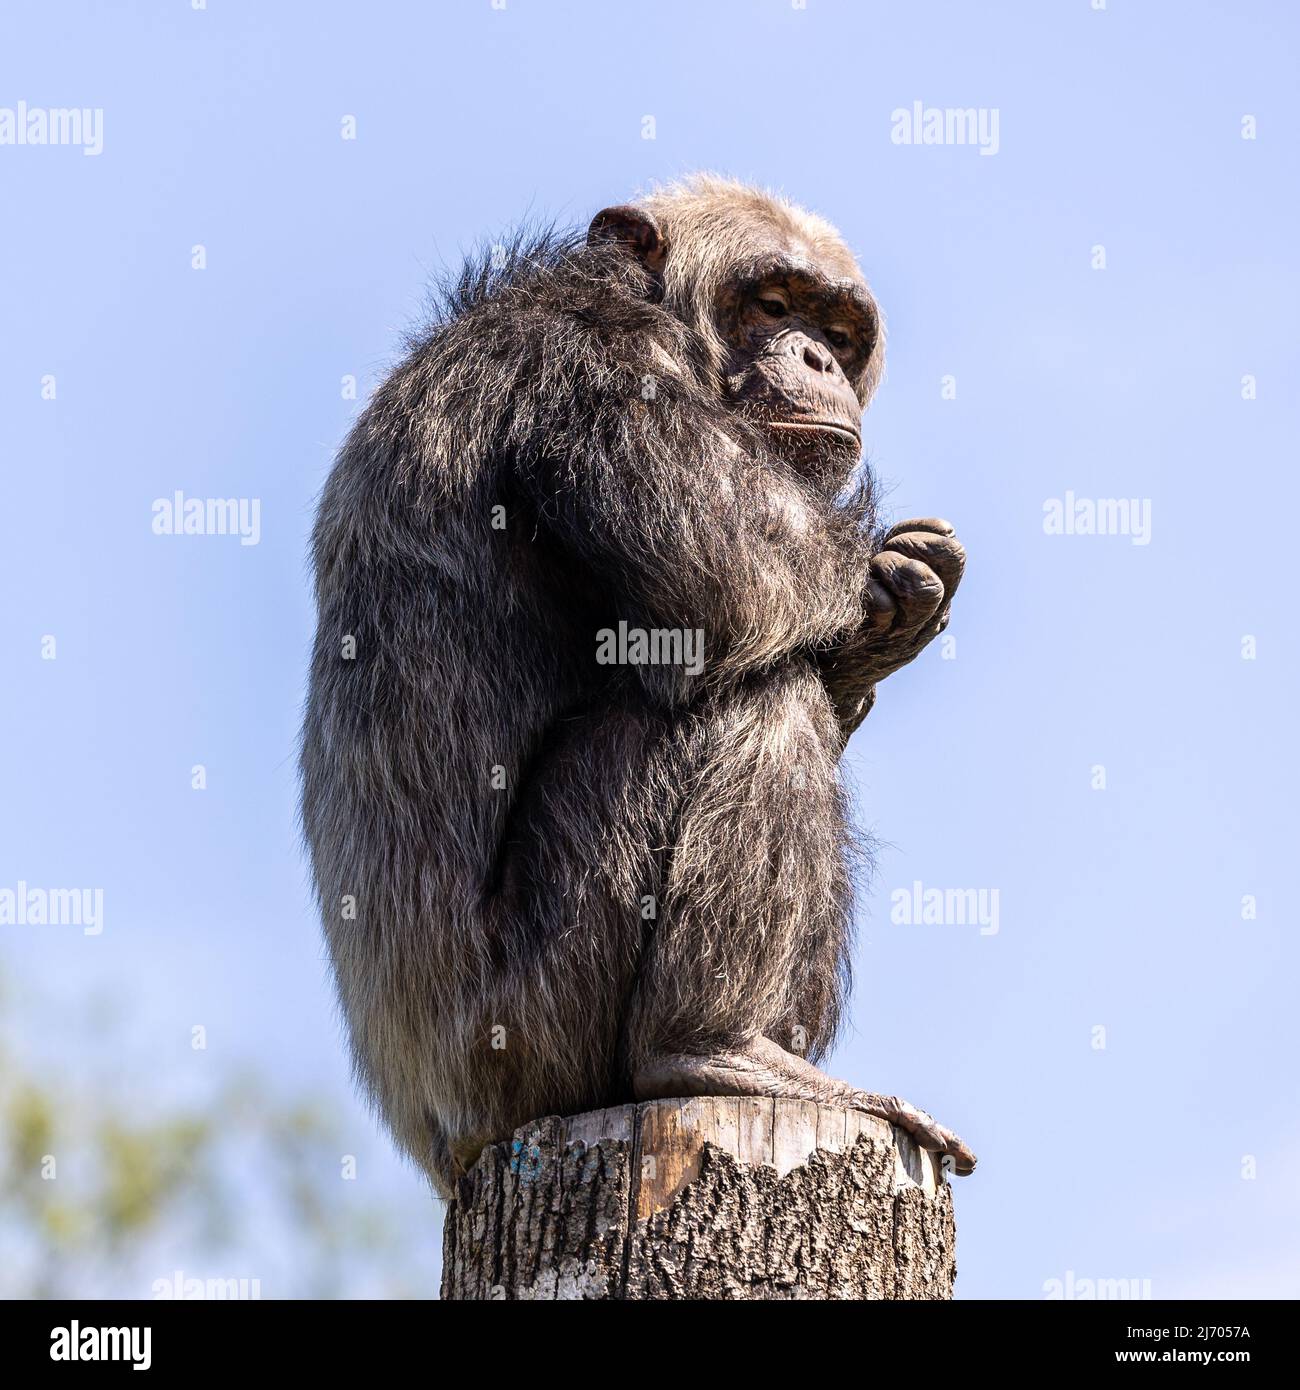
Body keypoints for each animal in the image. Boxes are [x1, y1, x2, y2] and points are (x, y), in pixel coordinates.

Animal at [300, 174, 976, 1197]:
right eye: (771, 304)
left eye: (837, 327)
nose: (817, 354)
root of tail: (451, 1139)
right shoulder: (596, 367)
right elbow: (736, 585)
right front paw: (889, 588)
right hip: (534, 1017)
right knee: (763, 700)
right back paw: (710, 1045)